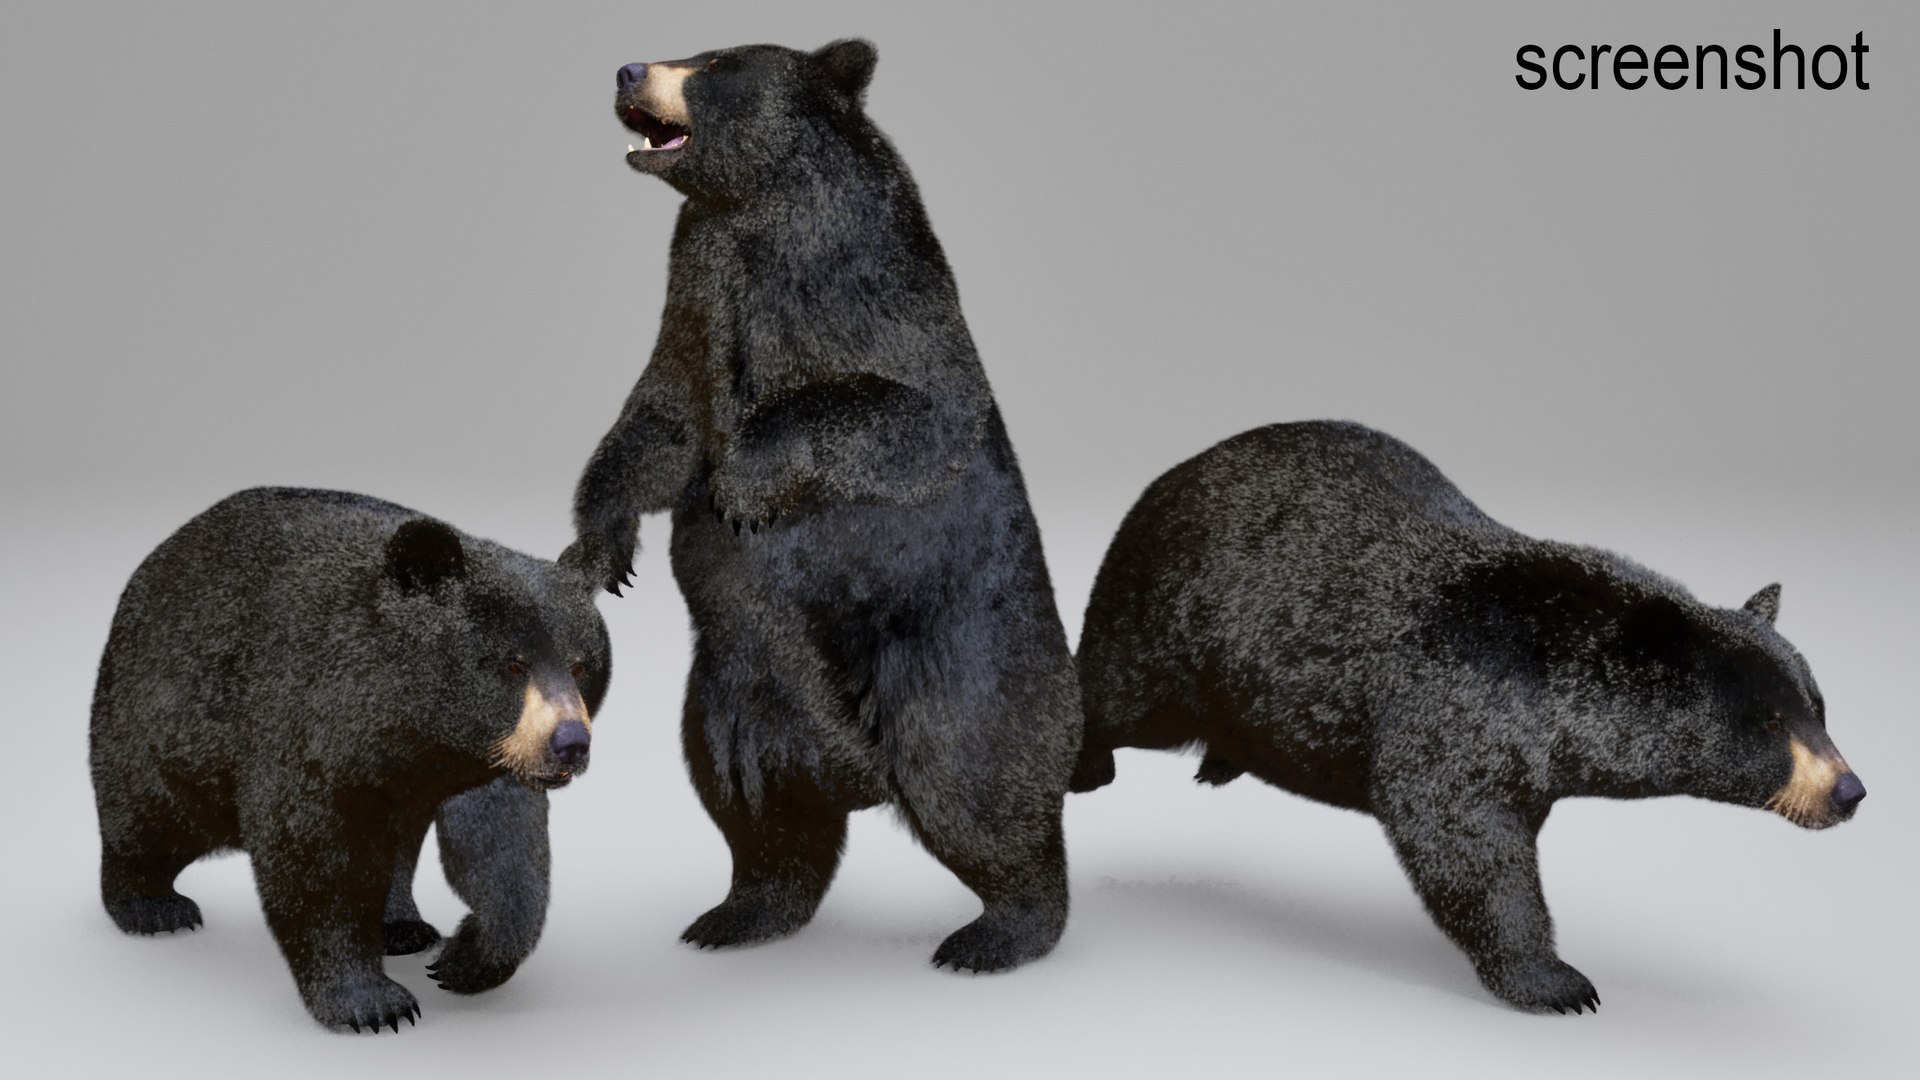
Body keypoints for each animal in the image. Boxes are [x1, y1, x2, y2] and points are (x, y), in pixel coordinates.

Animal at [90, 487, 610, 1031]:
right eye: (512, 664)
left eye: (581, 666)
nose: (570, 742)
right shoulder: (308, 718)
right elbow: (313, 852)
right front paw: (370, 1001)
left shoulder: (485, 753)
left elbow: (502, 846)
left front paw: (466, 957)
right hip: (158, 718)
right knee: (148, 814)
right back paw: (151, 906)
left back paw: (400, 925)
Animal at [564, 40, 1080, 972]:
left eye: (713, 63)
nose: (626, 71)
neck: (750, 208)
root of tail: (857, 771)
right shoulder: (696, 296)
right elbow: (661, 420)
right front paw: (600, 550)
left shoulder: (869, 290)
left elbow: (908, 408)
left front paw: (745, 486)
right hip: (734, 696)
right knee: (760, 813)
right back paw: (737, 914)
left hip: (966, 666)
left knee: (974, 779)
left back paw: (997, 932)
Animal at [1070, 421, 1866, 1013]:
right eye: (1769, 724)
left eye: (1818, 708)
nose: (1849, 790)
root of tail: (1170, 478)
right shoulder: (1452, 718)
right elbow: (1465, 844)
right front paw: (1555, 981)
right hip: (1171, 627)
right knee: (1118, 691)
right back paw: (1087, 758)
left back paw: (1225, 759)